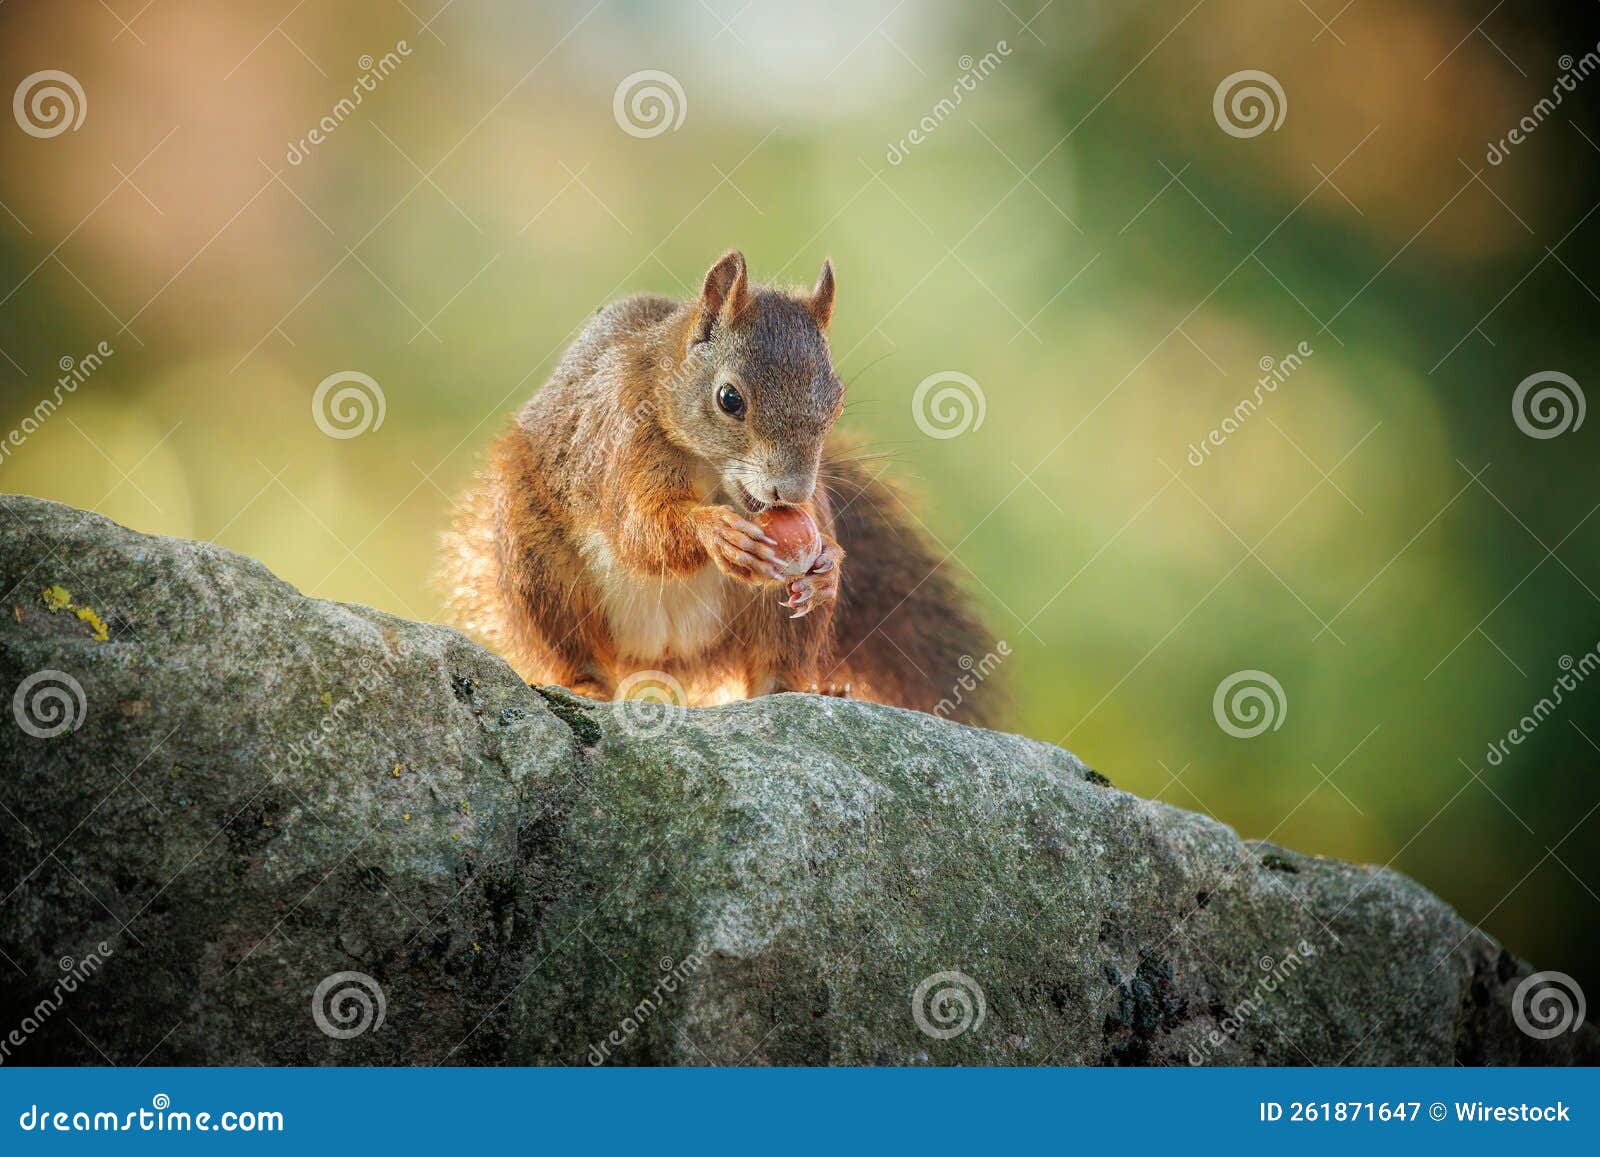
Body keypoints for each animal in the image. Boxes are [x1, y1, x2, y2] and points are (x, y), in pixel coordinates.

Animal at [438, 250, 995, 724]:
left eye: (836, 403)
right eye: (729, 399)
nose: (791, 492)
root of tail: (668, 658)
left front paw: (830, 565)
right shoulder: (622, 438)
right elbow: (638, 530)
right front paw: (716, 535)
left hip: (767, 612)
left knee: (774, 661)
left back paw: (800, 687)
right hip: (540, 571)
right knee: (574, 649)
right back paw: (586, 685)